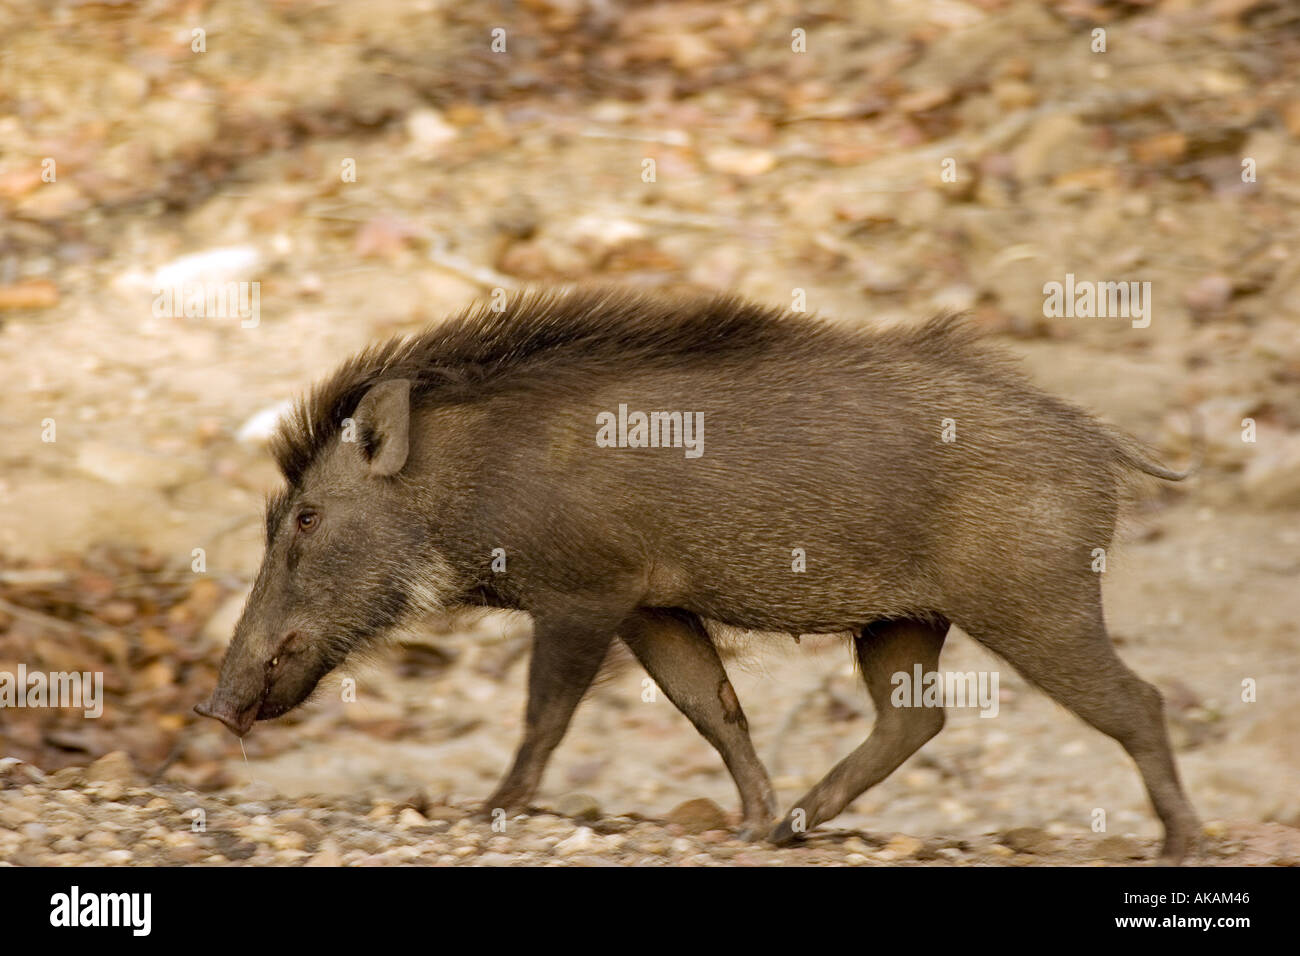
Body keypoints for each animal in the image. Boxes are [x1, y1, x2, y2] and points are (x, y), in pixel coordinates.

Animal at [196, 285, 1201, 860]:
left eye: (307, 517)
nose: (213, 707)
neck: (461, 482)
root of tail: (1102, 444)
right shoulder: (652, 605)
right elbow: (713, 708)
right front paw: (749, 822)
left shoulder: (585, 593)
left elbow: (547, 712)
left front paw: (490, 811)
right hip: (903, 621)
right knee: (915, 717)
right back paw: (791, 827)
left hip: (1036, 602)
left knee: (1137, 701)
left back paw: (1183, 847)